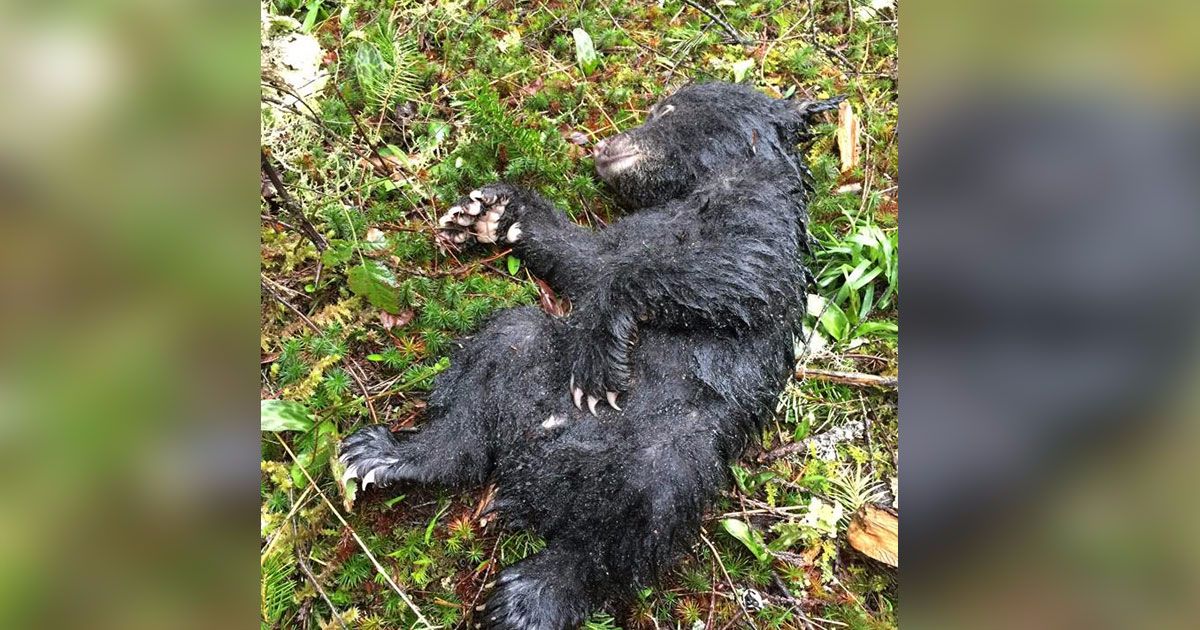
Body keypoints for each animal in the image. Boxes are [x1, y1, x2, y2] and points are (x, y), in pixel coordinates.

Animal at [339, 81, 841, 629]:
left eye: (665, 108)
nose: (603, 147)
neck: (699, 186)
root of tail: (526, 480)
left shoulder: (758, 213)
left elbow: (734, 266)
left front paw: (600, 358)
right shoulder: (632, 229)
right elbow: (587, 257)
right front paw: (495, 212)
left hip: (674, 444)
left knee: (638, 520)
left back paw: (530, 597)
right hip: (524, 374)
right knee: (497, 358)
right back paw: (389, 455)